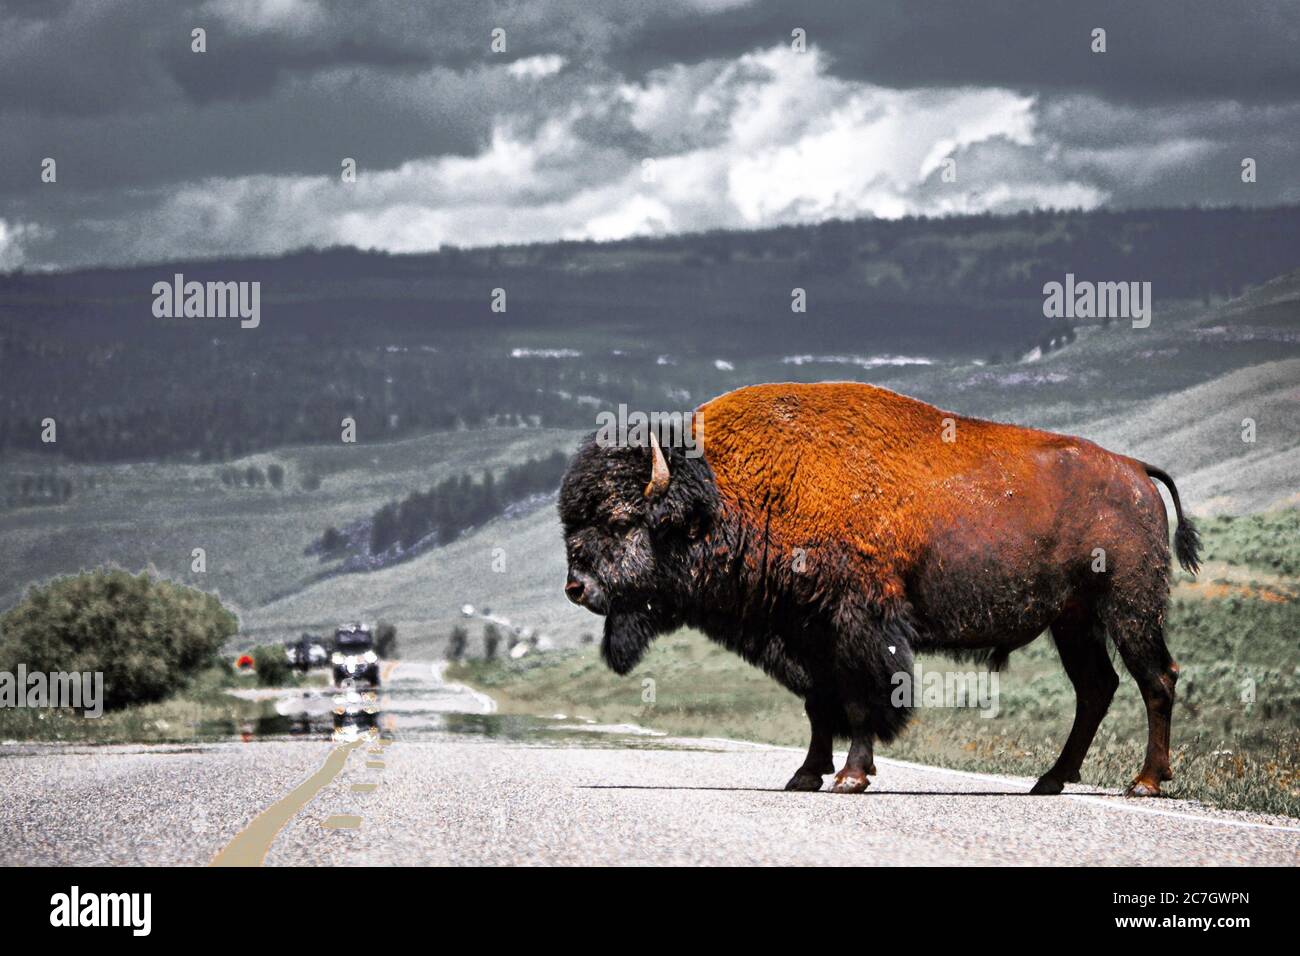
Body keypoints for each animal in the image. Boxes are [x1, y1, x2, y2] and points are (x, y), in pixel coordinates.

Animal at [559, 382, 1200, 796]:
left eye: (621, 520)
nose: (576, 586)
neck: (729, 493)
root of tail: (1134, 469)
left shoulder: (858, 623)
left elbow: (863, 698)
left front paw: (850, 777)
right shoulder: (804, 632)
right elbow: (820, 704)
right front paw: (805, 775)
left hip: (1128, 609)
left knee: (1155, 679)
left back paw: (1144, 783)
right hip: (1073, 623)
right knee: (1097, 688)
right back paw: (1049, 781)